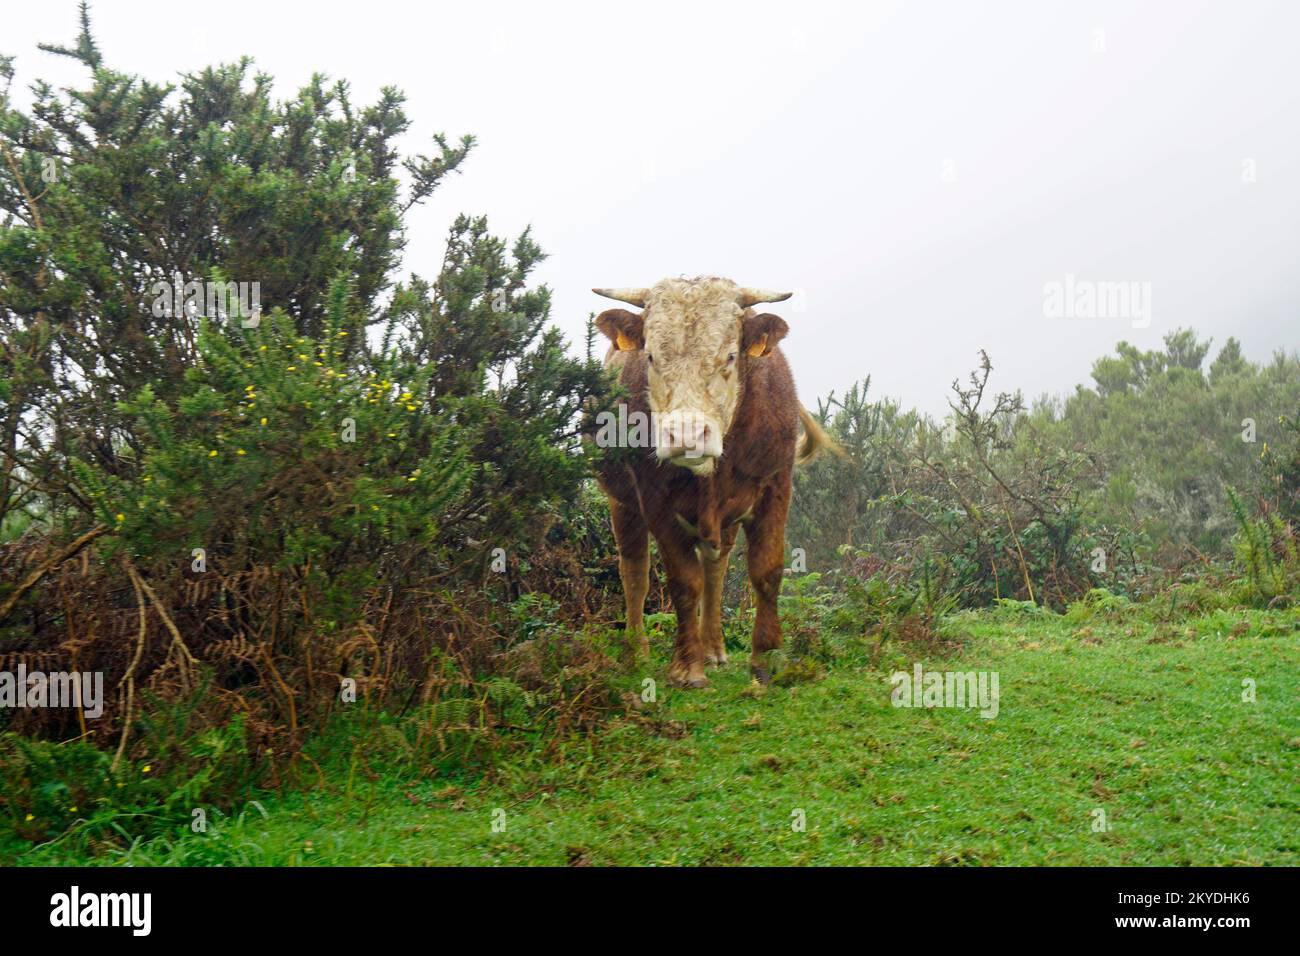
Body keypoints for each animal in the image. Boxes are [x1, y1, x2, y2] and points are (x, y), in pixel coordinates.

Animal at [590, 276, 836, 688]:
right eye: (651, 357)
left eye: (731, 356)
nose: (687, 434)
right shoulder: (654, 500)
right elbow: (683, 581)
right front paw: (687, 668)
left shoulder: (776, 486)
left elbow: (766, 570)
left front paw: (767, 659)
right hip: (621, 504)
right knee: (635, 571)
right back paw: (636, 653)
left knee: (715, 568)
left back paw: (714, 648)